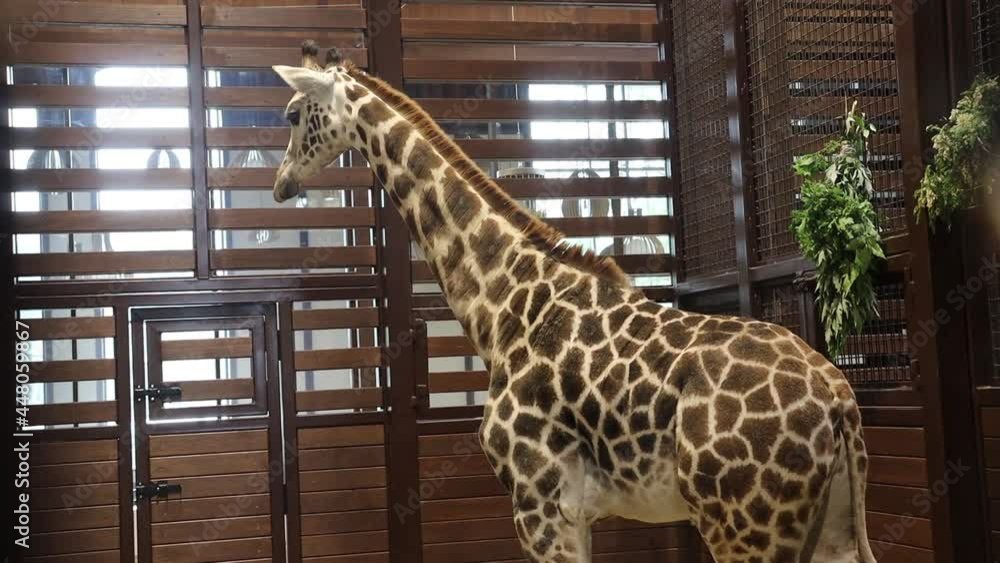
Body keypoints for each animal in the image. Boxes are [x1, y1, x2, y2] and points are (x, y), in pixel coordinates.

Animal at [272, 41, 878, 563]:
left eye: (293, 114)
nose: (280, 185)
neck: (504, 302)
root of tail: (837, 396)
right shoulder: (571, 512)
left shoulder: (540, 503)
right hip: (830, 525)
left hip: (745, 526)